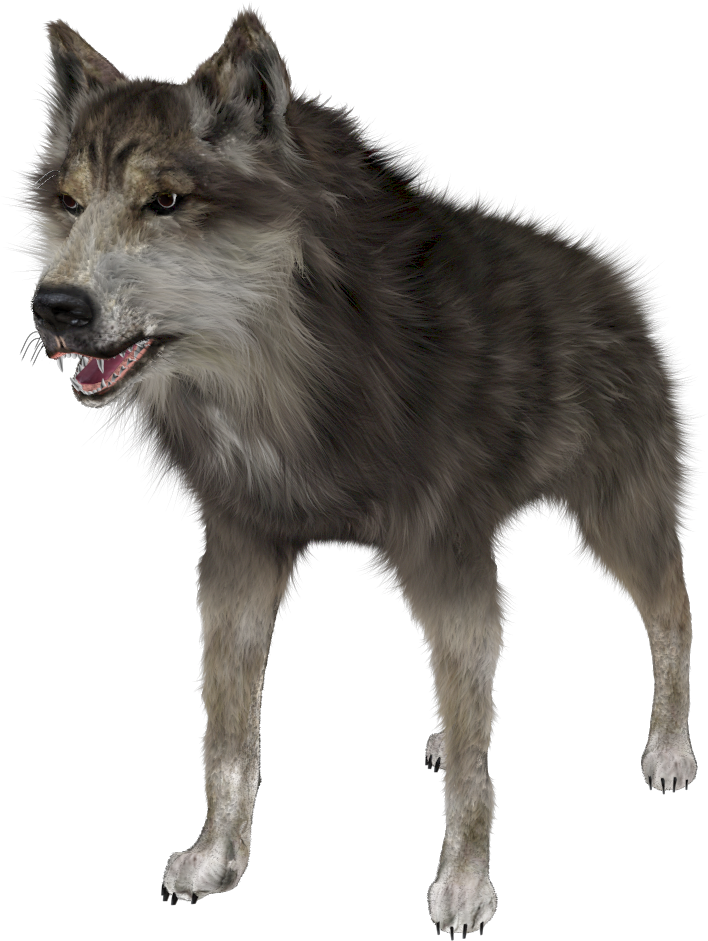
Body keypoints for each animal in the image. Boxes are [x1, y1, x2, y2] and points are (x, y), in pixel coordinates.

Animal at [23, 8, 696, 935]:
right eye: (71, 204)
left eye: (166, 202)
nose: (55, 308)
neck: (292, 375)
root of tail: (618, 283)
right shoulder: (239, 556)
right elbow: (229, 742)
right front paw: (217, 858)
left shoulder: (443, 561)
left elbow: (476, 780)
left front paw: (465, 885)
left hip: (617, 521)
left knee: (673, 614)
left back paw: (669, 748)